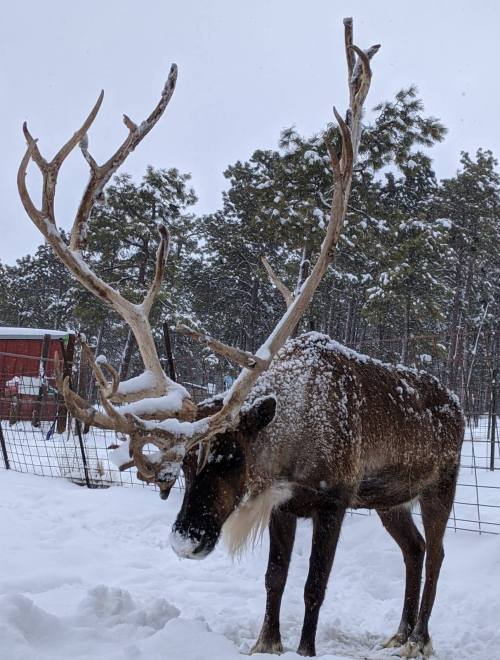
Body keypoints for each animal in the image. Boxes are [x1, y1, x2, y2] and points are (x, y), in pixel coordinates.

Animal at [17, 19, 464, 659]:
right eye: (184, 464)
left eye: (230, 456)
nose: (184, 540)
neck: (291, 439)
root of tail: (456, 402)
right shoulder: (286, 506)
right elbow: (274, 580)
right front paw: (265, 642)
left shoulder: (334, 500)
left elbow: (313, 587)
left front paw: (303, 648)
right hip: (389, 499)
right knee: (414, 549)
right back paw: (398, 630)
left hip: (439, 484)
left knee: (439, 553)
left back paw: (420, 639)